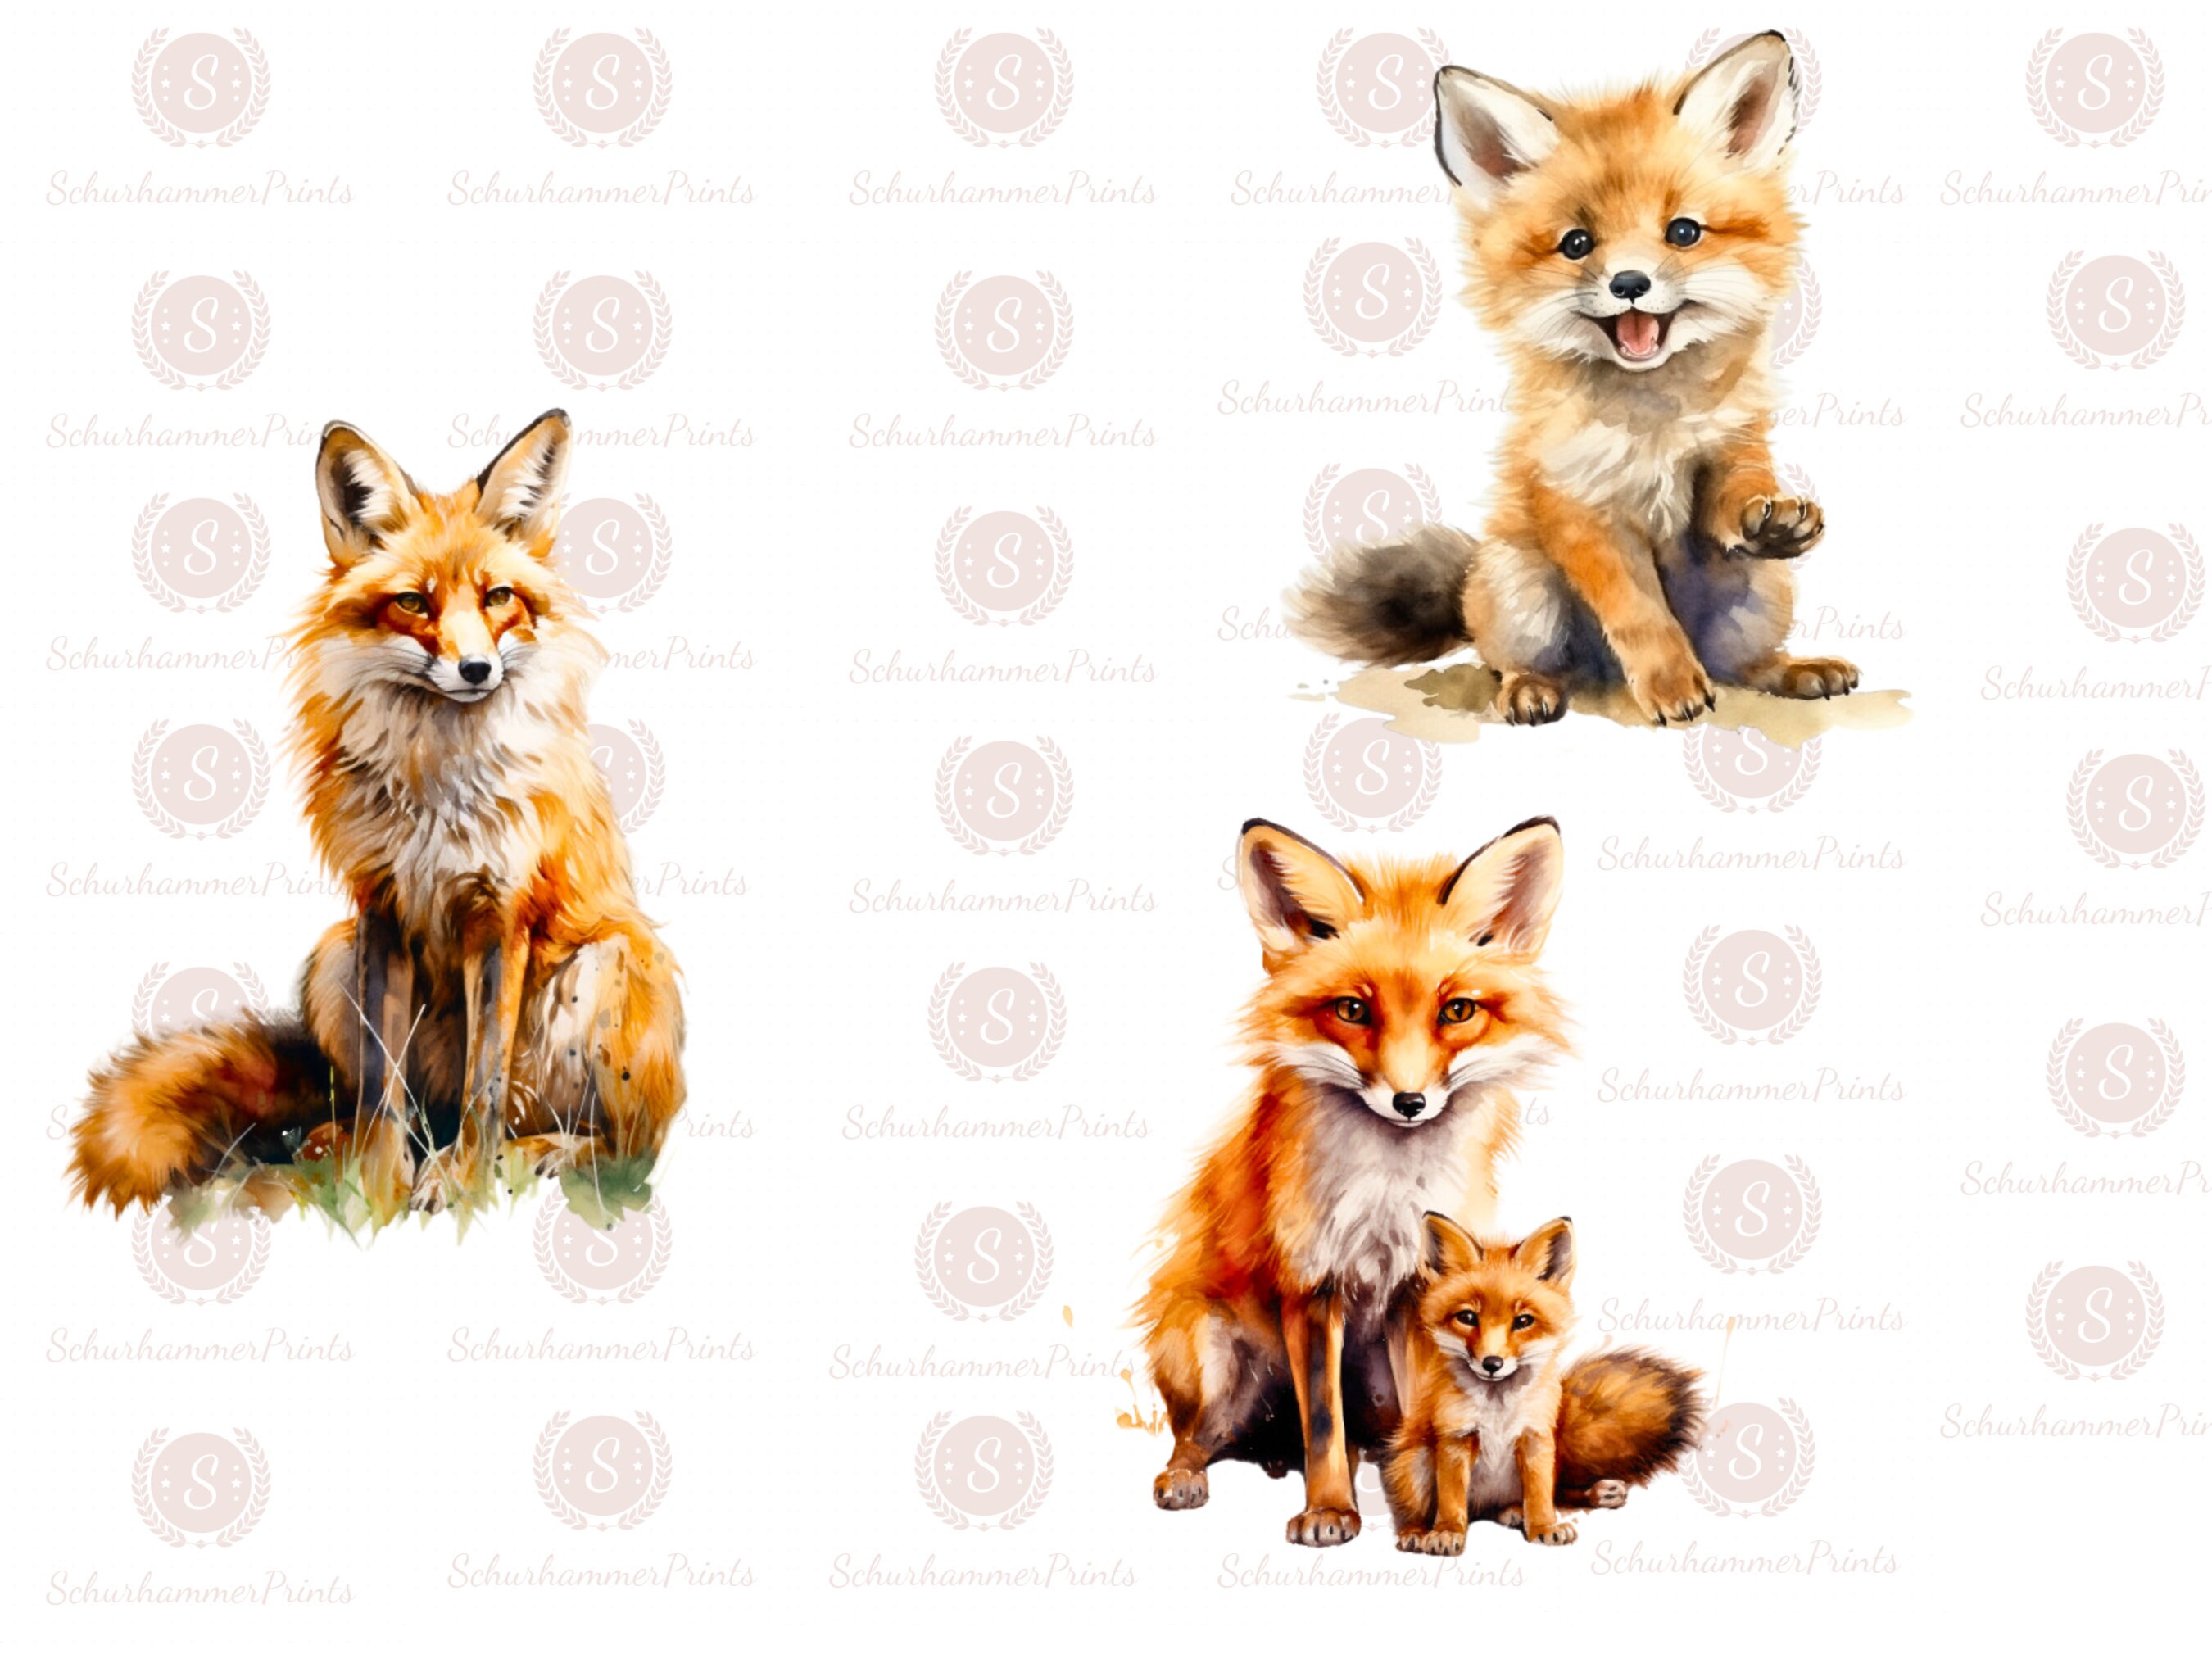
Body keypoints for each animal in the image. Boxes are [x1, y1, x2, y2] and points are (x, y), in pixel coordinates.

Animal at [68, 410, 685, 1223]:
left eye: (498, 597)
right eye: (414, 603)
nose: (477, 670)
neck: (435, 786)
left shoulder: (502, 918)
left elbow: (485, 1089)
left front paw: (463, 1187)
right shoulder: (381, 908)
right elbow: (381, 1088)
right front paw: (377, 1190)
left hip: (608, 965)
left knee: (621, 1146)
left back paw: (535, 1154)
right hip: (335, 955)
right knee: (409, 1107)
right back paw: (338, 1147)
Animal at [1138, 815, 1570, 1546]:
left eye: (1457, 1011)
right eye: (1351, 1009)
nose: (1409, 1102)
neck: (1389, 1192)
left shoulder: (1415, 1295)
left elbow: (1422, 1420)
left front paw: (1428, 1512)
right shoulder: (1312, 1285)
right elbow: (1323, 1424)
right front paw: (1331, 1510)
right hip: (1213, 1357)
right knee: (1200, 1433)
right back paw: (1189, 1474)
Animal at [1289, 32, 1860, 727]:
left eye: (1683, 232)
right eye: (1577, 243)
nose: (1630, 283)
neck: (1653, 423)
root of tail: (1598, 675)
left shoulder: (1731, 445)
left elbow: (1740, 494)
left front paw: (1770, 521)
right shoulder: (1581, 508)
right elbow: (1640, 614)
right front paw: (1670, 682)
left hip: (1762, 594)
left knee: (1743, 663)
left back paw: (1796, 669)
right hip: (1521, 590)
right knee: (1514, 660)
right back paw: (1531, 689)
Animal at [1386, 1213, 1703, 1552]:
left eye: (1523, 1321)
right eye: (1468, 1318)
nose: (1492, 1364)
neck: (1497, 1408)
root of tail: (1483, 1508)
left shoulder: (1536, 1436)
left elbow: (1540, 1497)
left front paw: (1543, 1527)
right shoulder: (1455, 1438)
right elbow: (1451, 1499)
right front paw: (1447, 1532)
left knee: (1554, 1494)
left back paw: (1572, 1499)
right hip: (1415, 1464)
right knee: (1418, 1509)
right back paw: (1417, 1533)